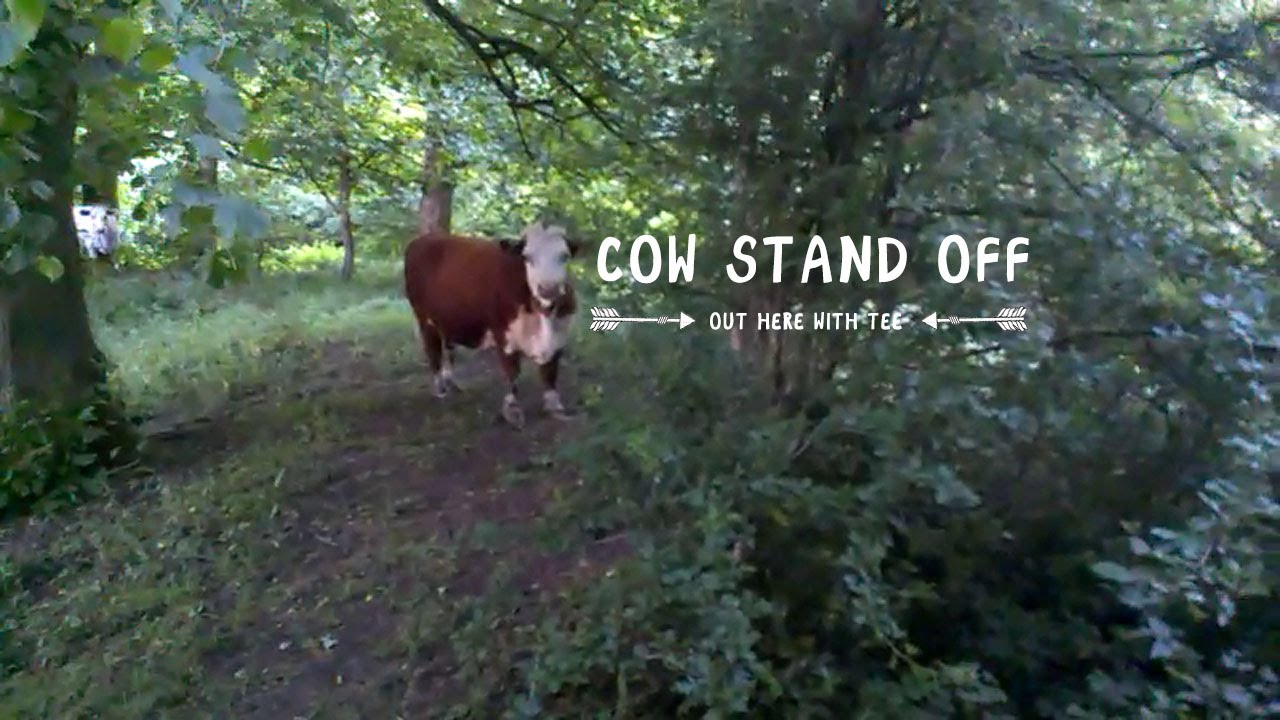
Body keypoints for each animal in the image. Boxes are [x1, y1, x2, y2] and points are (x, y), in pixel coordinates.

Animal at [403, 221, 581, 428]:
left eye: (564, 256)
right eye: (527, 257)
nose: (548, 289)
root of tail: (422, 240)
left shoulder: (560, 335)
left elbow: (551, 371)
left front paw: (555, 406)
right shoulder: (503, 335)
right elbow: (512, 372)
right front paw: (512, 409)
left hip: (446, 320)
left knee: (449, 348)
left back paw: (451, 381)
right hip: (423, 318)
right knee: (433, 352)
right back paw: (440, 388)